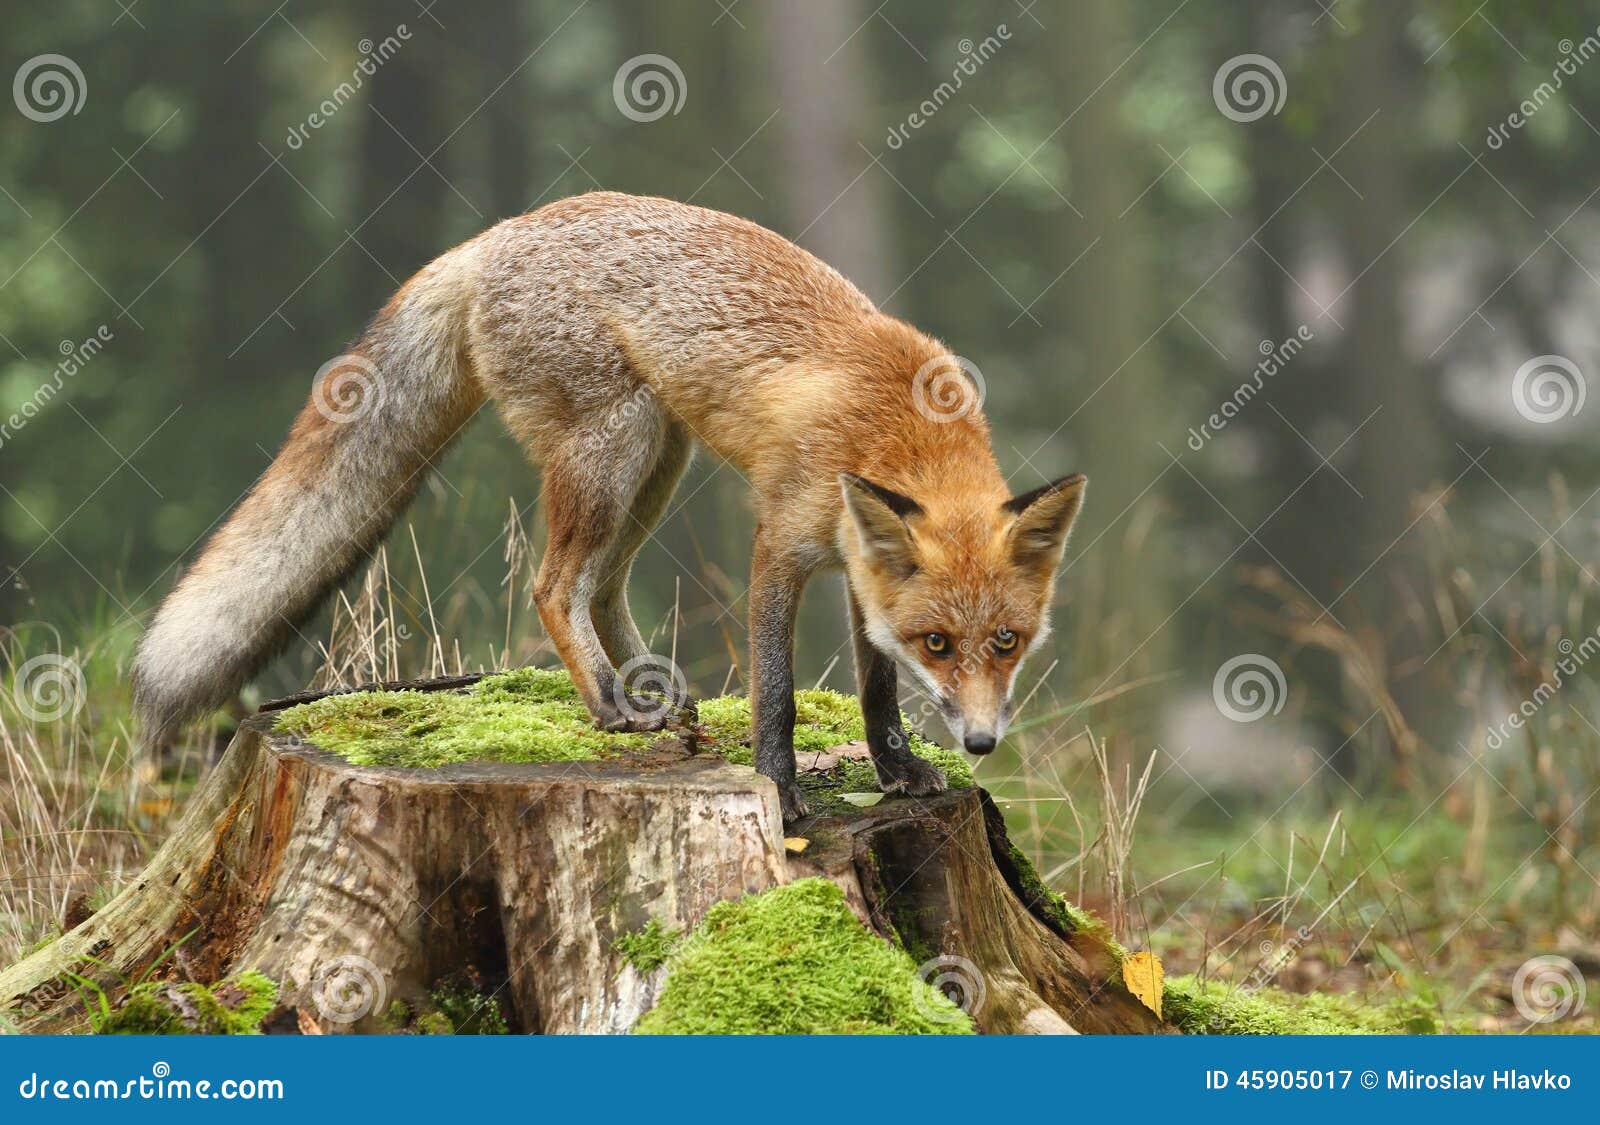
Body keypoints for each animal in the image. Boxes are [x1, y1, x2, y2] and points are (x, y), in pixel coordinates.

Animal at [133, 192, 1085, 821]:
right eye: (940, 644)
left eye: (1007, 642)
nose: (981, 744)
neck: (898, 425)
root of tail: (494, 235)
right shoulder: (779, 543)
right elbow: (777, 691)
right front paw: (778, 789)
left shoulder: (860, 569)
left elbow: (876, 687)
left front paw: (896, 771)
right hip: (611, 450)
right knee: (557, 588)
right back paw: (607, 704)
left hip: (658, 459)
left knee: (603, 585)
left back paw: (645, 687)